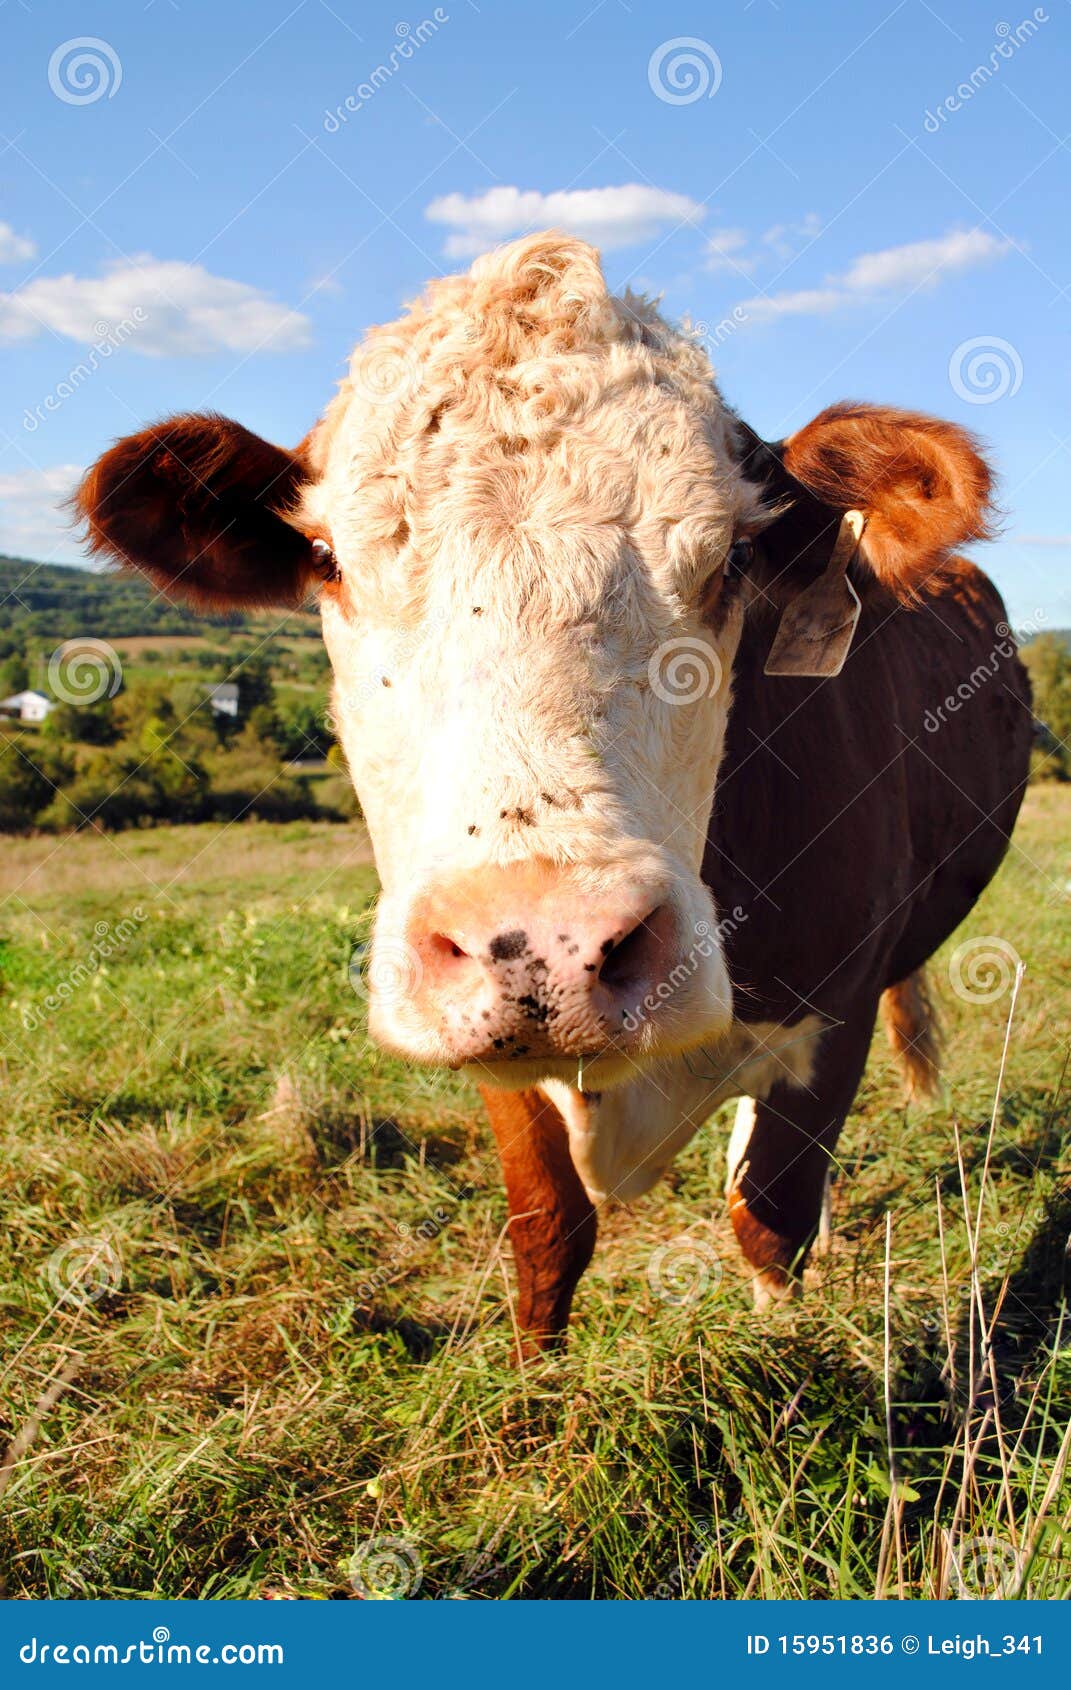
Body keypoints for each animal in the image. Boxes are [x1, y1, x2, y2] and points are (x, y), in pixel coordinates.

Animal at [76, 232, 1032, 1352]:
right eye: (327, 559)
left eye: (736, 558)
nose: (552, 942)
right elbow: (547, 1226)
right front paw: (535, 1370)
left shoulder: (833, 1005)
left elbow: (770, 1213)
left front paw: (778, 1346)